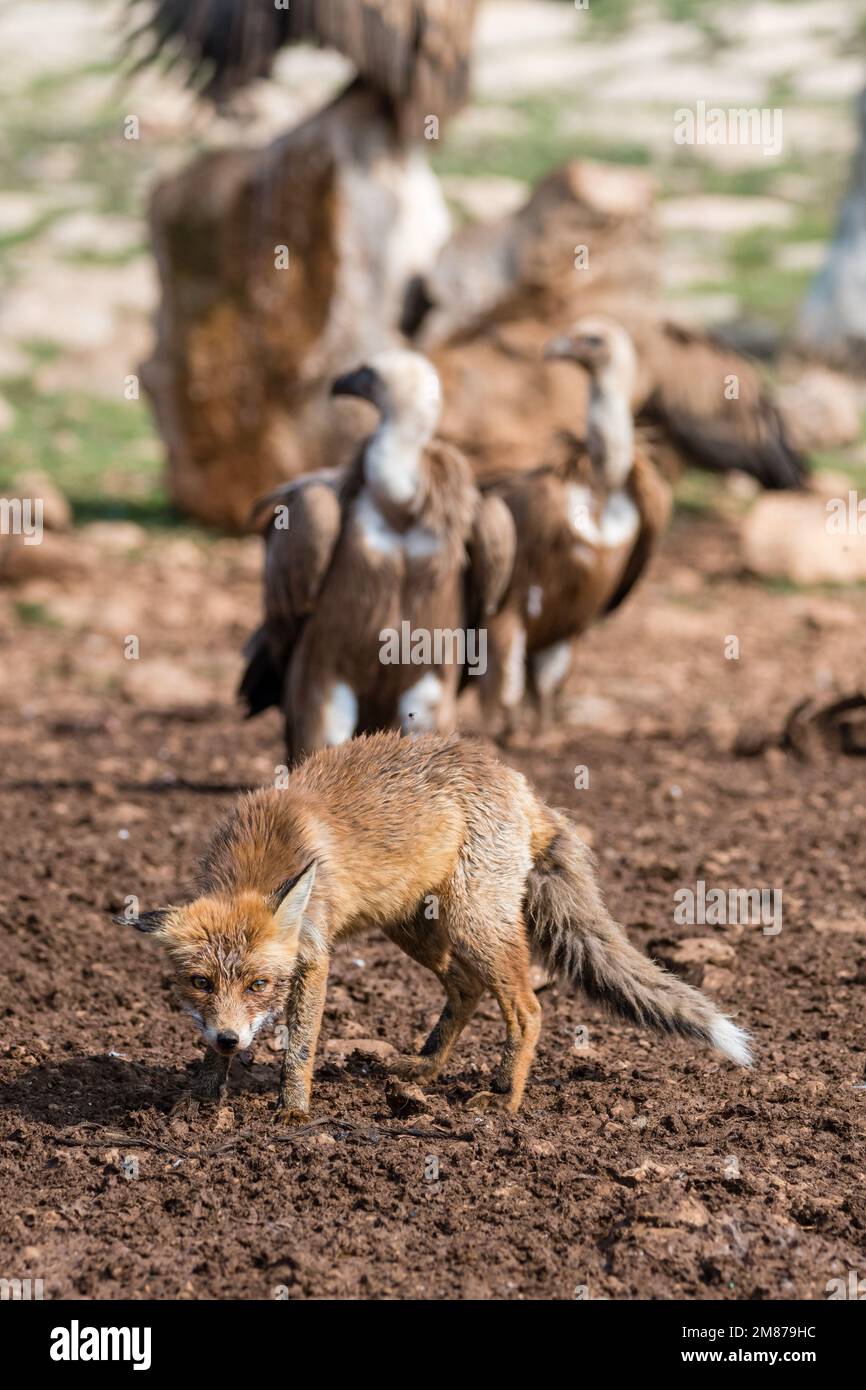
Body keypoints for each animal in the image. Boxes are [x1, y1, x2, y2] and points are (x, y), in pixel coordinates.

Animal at [118, 732, 751, 1117]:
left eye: (259, 984)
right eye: (200, 982)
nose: (230, 1038)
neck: (261, 854)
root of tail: (518, 782)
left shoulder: (313, 955)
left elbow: (299, 1045)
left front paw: (292, 1111)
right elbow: (213, 1051)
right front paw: (201, 1097)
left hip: (476, 922)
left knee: (528, 1008)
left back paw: (503, 1098)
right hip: (413, 927)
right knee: (467, 989)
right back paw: (424, 1069)